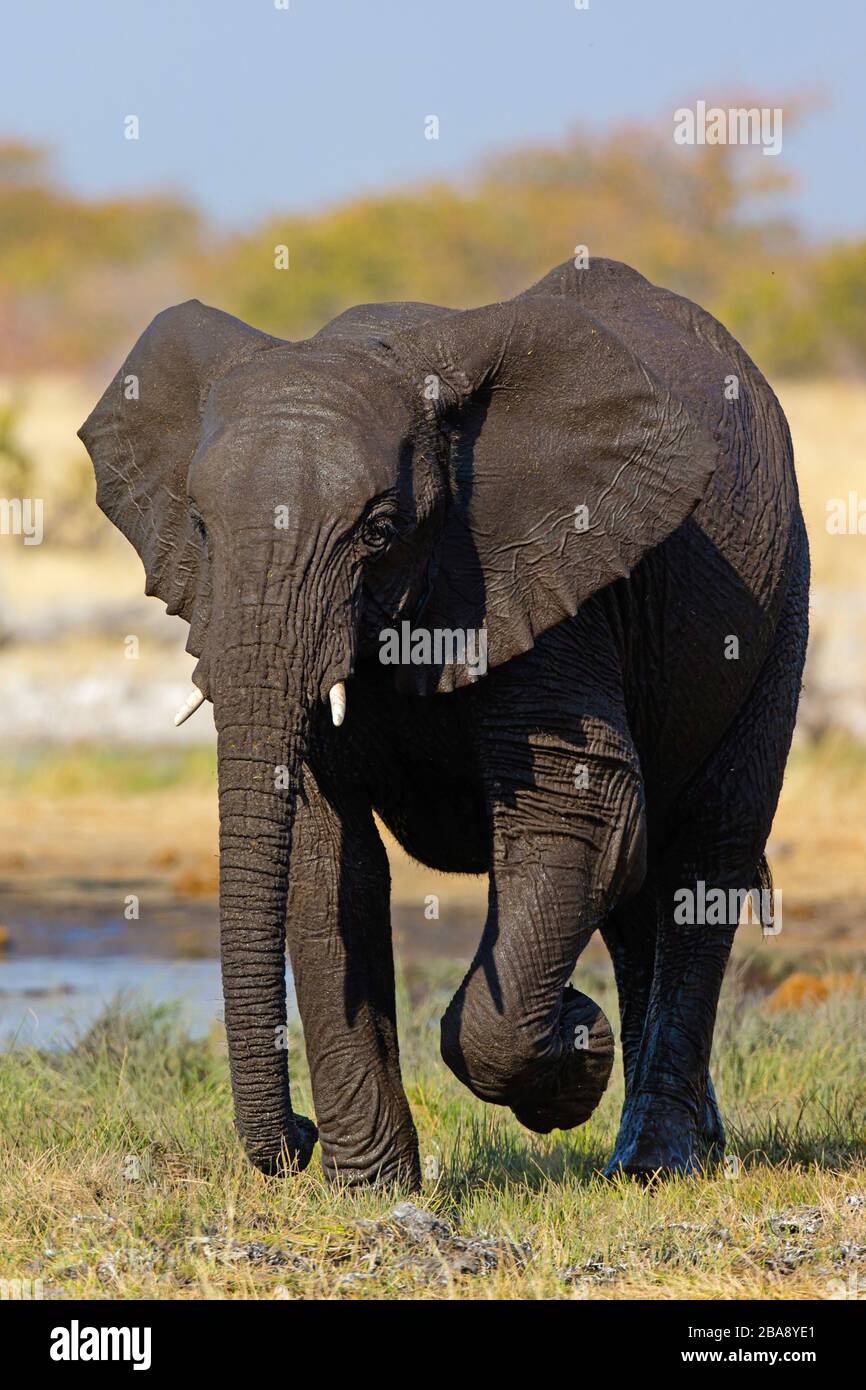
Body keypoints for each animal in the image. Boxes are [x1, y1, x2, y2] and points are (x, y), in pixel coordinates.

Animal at [79, 257, 809, 1187]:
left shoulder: (545, 578)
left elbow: (579, 813)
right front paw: (369, 1190)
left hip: (778, 603)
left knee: (704, 858)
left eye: (380, 531)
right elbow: (326, 856)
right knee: (638, 895)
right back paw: (675, 1144)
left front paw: (576, 1049)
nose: (296, 1142)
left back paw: (657, 1159)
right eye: (201, 527)